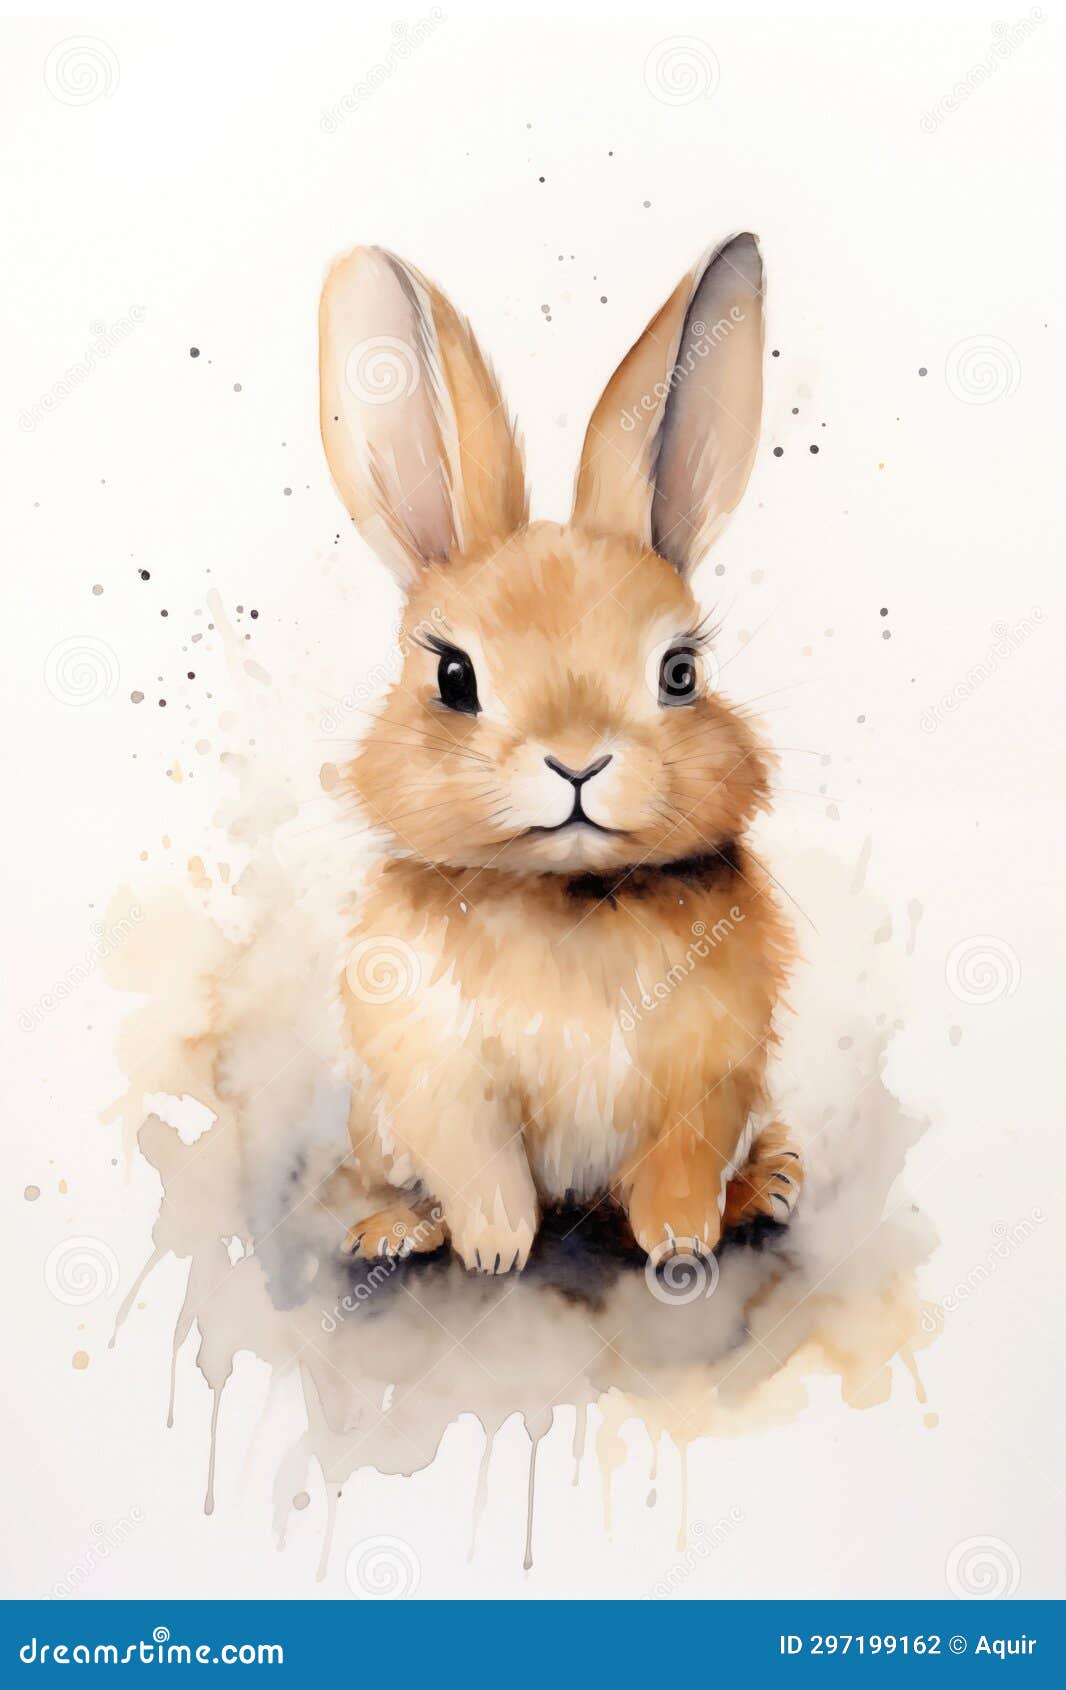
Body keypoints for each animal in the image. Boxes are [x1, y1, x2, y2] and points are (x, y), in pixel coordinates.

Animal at [318, 233, 802, 1275]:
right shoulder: (441, 1076)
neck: (567, 896)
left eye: (680, 673)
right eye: (454, 675)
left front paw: (679, 1243)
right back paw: (395, 1231)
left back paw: (767, 1189)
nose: (578, 764)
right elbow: (481, 1166)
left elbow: (681, 1161)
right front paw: (495, 1251)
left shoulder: (710, 1075)